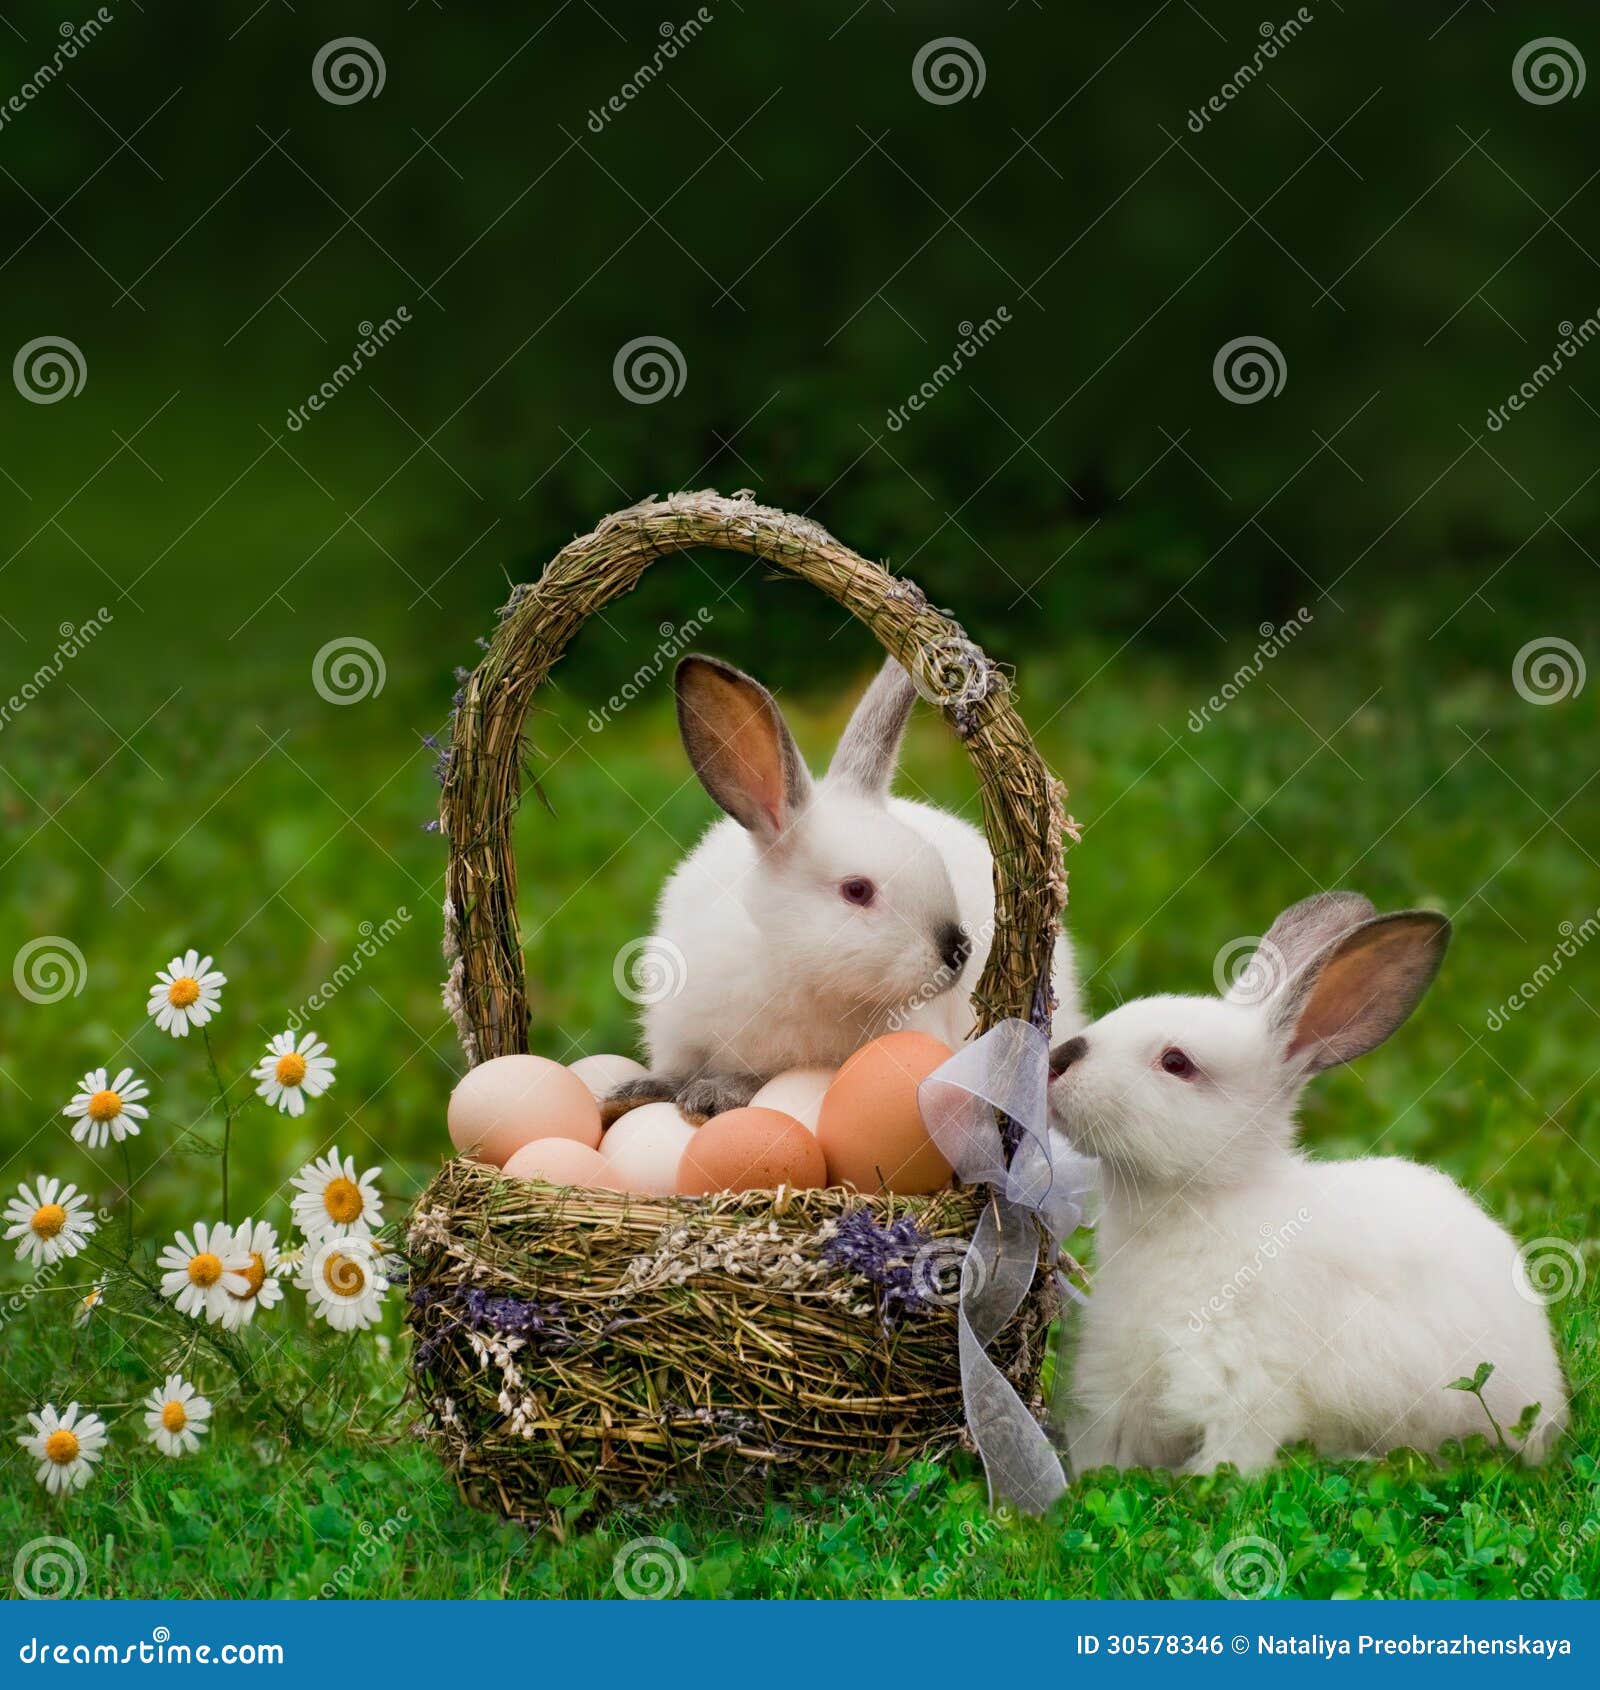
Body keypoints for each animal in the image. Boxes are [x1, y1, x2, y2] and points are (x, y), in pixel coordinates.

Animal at [607, 654, 1081, 1121]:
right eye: (856, 891)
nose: (957, 953)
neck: (790, 962)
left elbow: (758, 1081)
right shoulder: (679, 1032)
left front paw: (716, 1094)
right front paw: (642, 1091)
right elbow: (680, 1068)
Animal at [1049, 890, 1568, 1475]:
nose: (1058, 1059)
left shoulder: (1240, 1383)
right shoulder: (1117, 1384)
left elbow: (1229, 1460)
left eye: (1176, 1063)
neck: (1203, 1203)